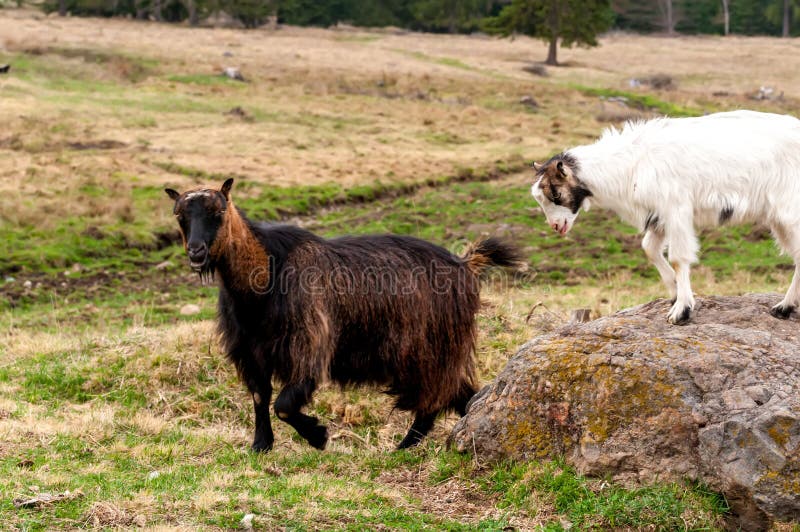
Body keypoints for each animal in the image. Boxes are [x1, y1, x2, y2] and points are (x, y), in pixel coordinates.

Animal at [165, 178, 522, 451]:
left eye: (218, 212)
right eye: (180, 215)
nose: (196, 252)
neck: (265, 276)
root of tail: (466, 264)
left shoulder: (308, 344)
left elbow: (284, 406)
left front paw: (318, 436)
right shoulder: (251, 352)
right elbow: (260, 397)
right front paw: (261, 445)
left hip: (428, 350)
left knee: (437, 396)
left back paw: (405, 445)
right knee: (459, 394)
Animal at [531, 110, 800, 324]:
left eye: (555, 193)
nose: (556, 226)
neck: (631, 162)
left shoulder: (676, 208)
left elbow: (679, 258)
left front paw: (682, 310)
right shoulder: (658, 216)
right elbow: (649, 248)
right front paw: (674, 292)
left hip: (789, 212)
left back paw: (784, 306)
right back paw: (785, 308)